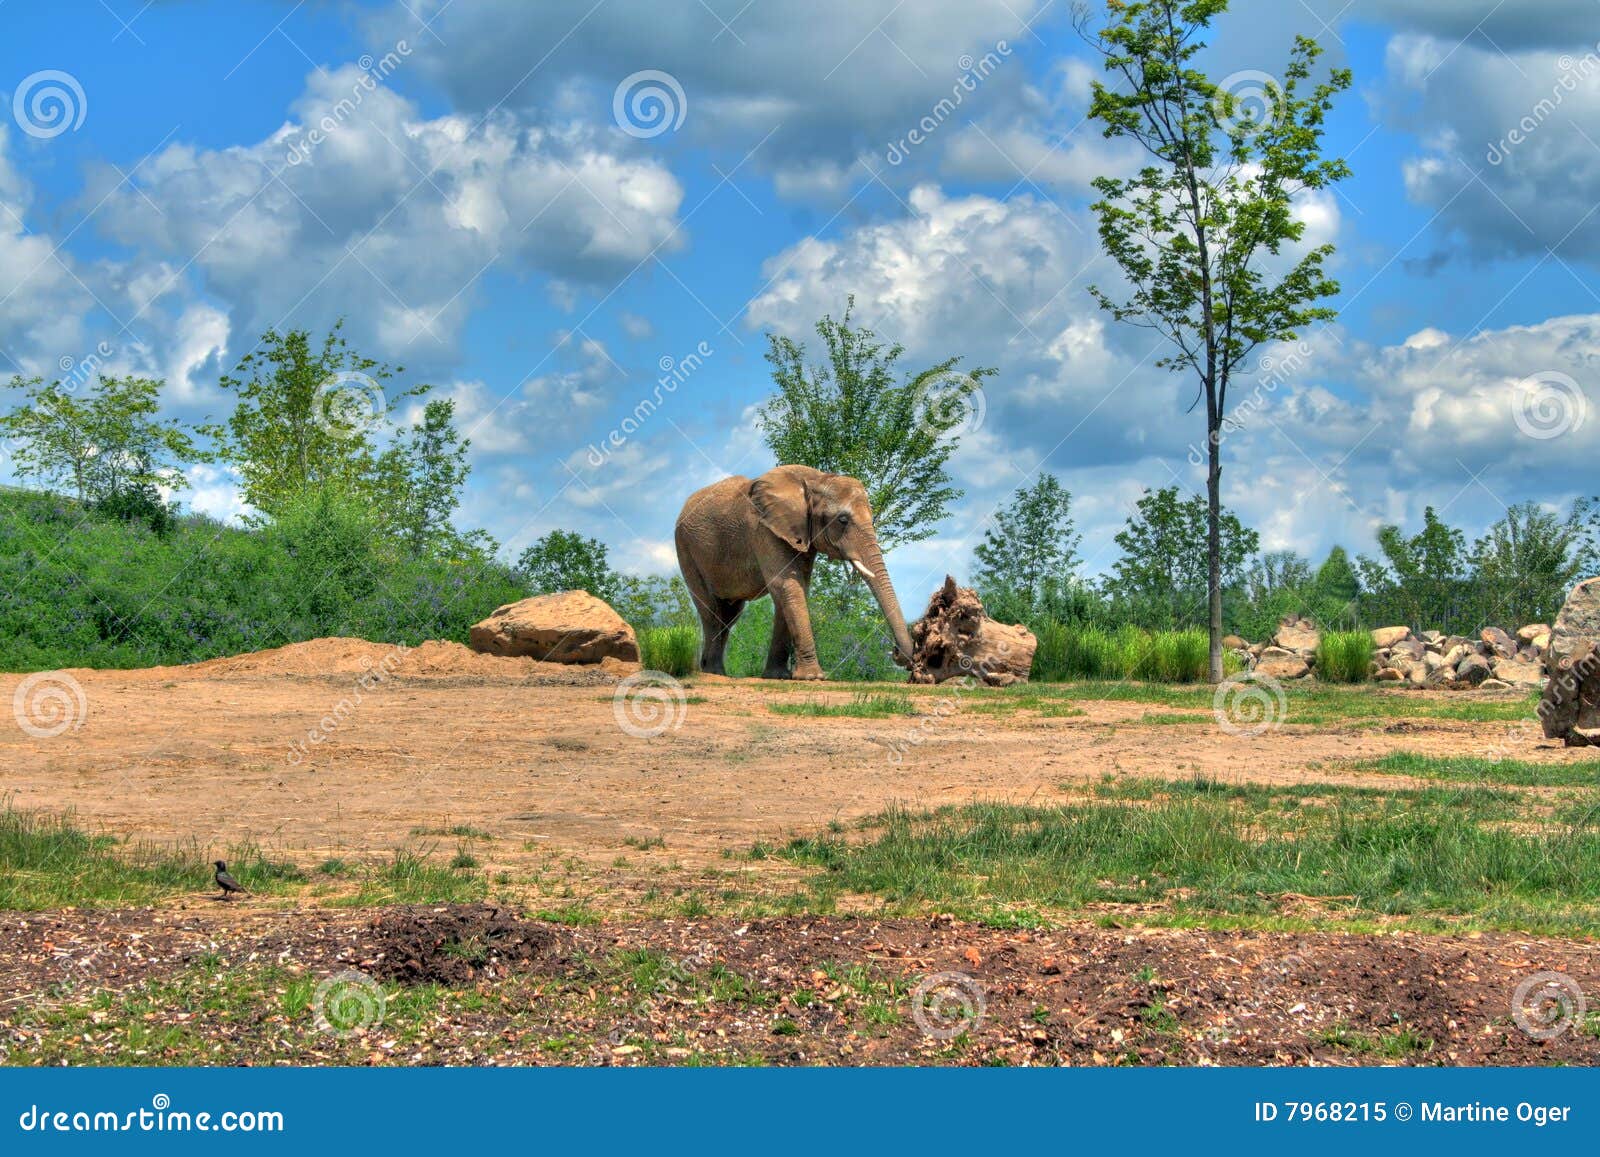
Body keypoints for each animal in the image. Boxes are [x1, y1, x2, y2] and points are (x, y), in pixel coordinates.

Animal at [674, 464, 915, 679]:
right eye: (843, 520)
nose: (895, 652)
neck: (816, 479)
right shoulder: (763, 529)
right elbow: (786, 585)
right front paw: (813, 678)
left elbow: (796, 589)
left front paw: (777, 677)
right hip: (685, 548)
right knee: (711, 611)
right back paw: (714, 673)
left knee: (730, 613)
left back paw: (712, 670)